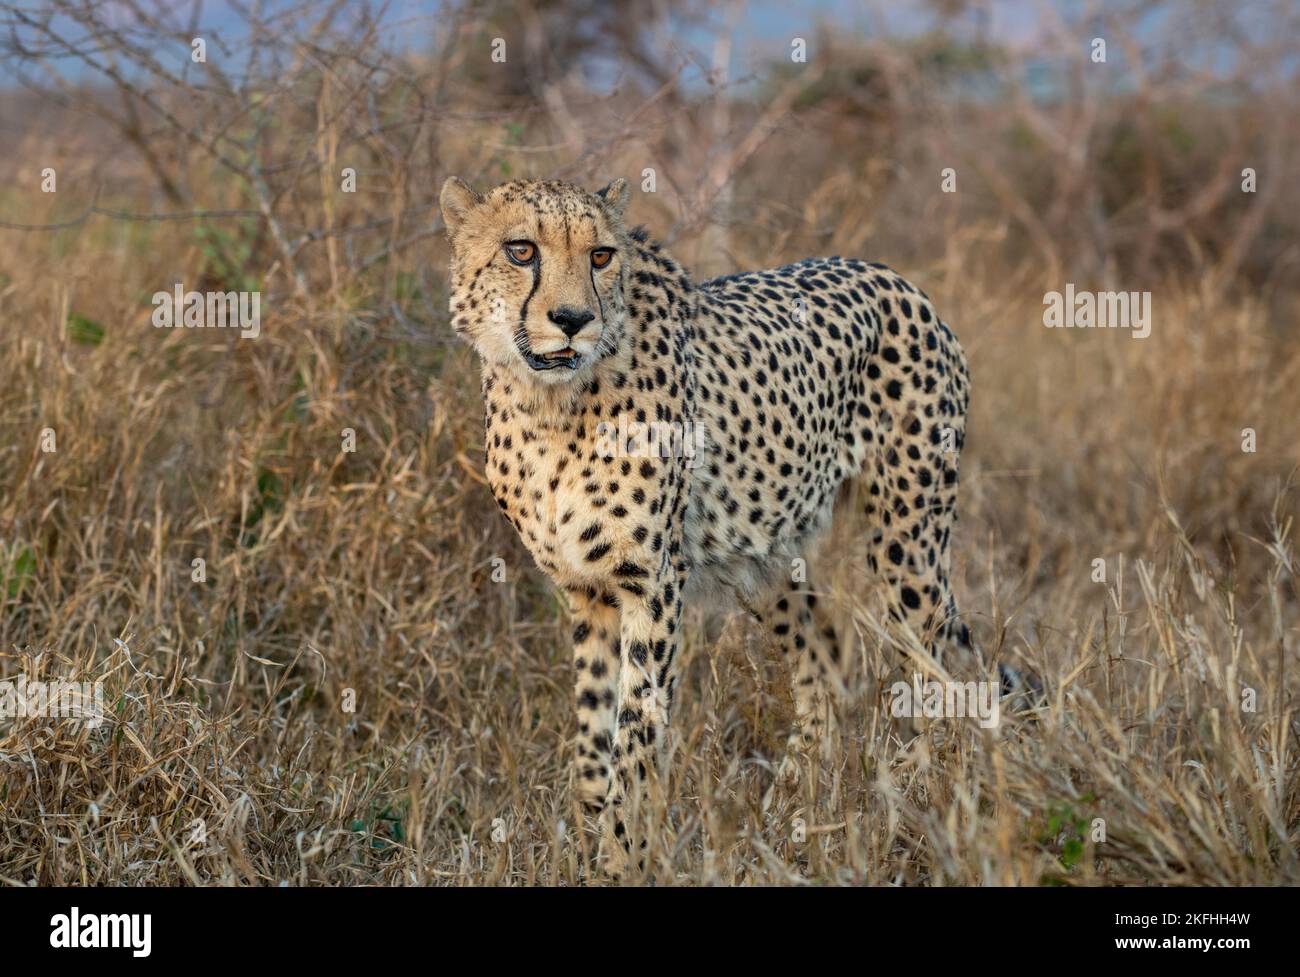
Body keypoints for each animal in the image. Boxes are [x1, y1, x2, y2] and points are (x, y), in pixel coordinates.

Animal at [439, 175, 1014, 877]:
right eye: (520, 251)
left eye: (601, 255)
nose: (573, 320)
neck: (548, 403)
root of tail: (898, 280)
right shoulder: (586, 589)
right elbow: (593, 730)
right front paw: (589, 842)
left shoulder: (653, 582)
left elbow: (636, 731)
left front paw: (624, 857)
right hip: (767, 556)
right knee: (826, 662)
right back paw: (794, 808)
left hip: (908, 547)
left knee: (933, 672)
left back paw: (920, 799)